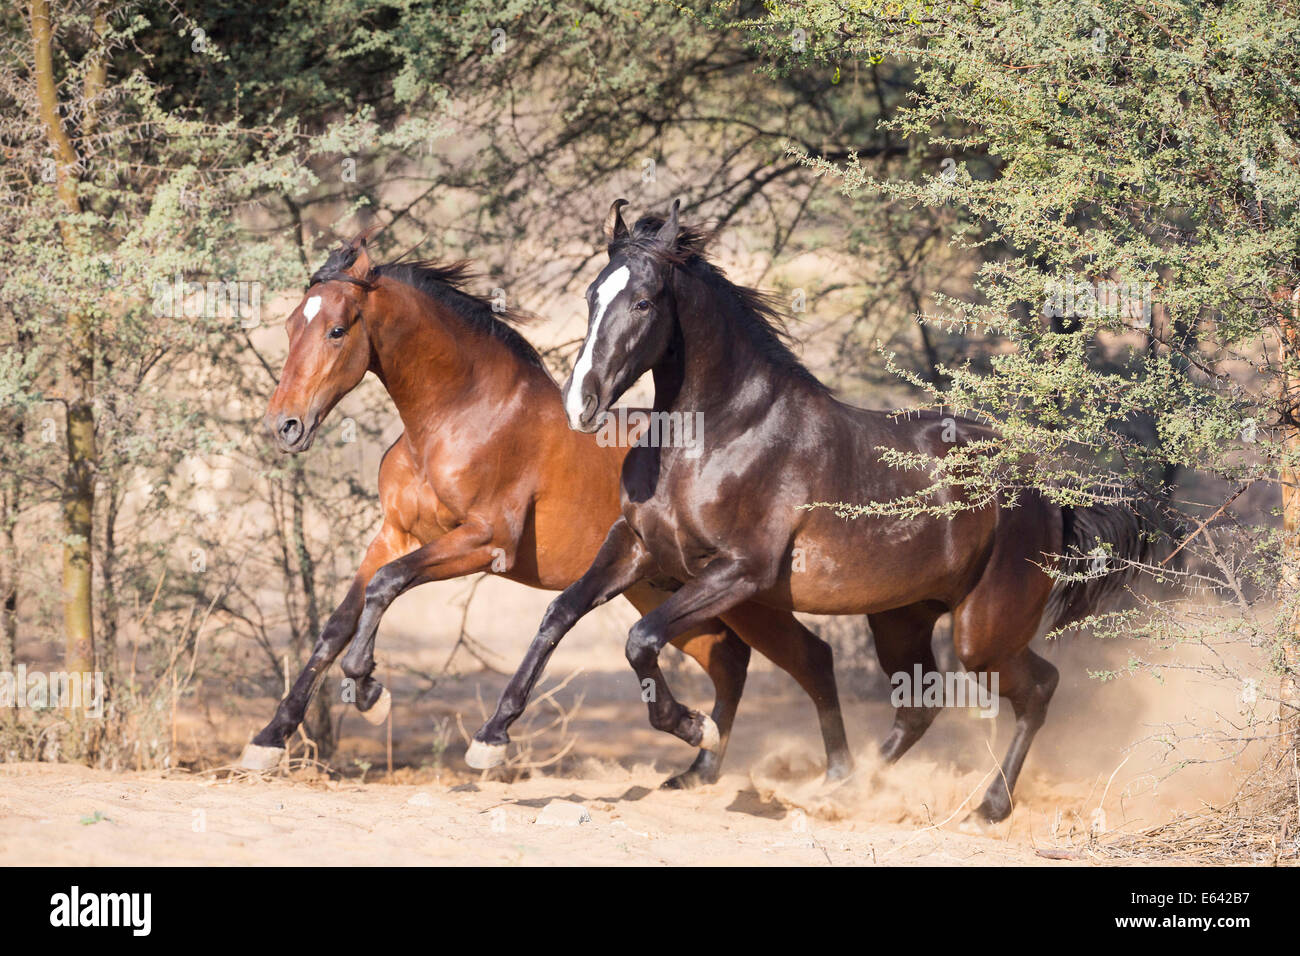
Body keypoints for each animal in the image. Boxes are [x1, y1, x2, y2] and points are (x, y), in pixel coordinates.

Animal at [239, 232, 854, 788]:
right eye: (291, 326)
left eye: (337, 330)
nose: (284, 426)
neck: (456, 419)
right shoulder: (394, 533)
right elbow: (339, 622)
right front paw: (269, 739)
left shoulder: (485, 542)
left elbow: (386, 586)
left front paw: (370, 689)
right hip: (657, 587)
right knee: (728, 659)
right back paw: (698, 758)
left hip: (743, 591)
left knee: (803, 658)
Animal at [469, 201, 1152, 824]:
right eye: (592, 295)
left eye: (642, 303)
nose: (580, 405)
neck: (716, 435)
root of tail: (1045, 493)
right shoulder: (638, 546)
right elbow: (559, 614)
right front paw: (490, 739)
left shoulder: (739, 571)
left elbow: (641, 639)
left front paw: (695, 728)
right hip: (901, 620)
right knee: (919, 705)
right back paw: (847, 789)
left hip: (983, 630)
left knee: (1038, 689)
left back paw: (988, 806)